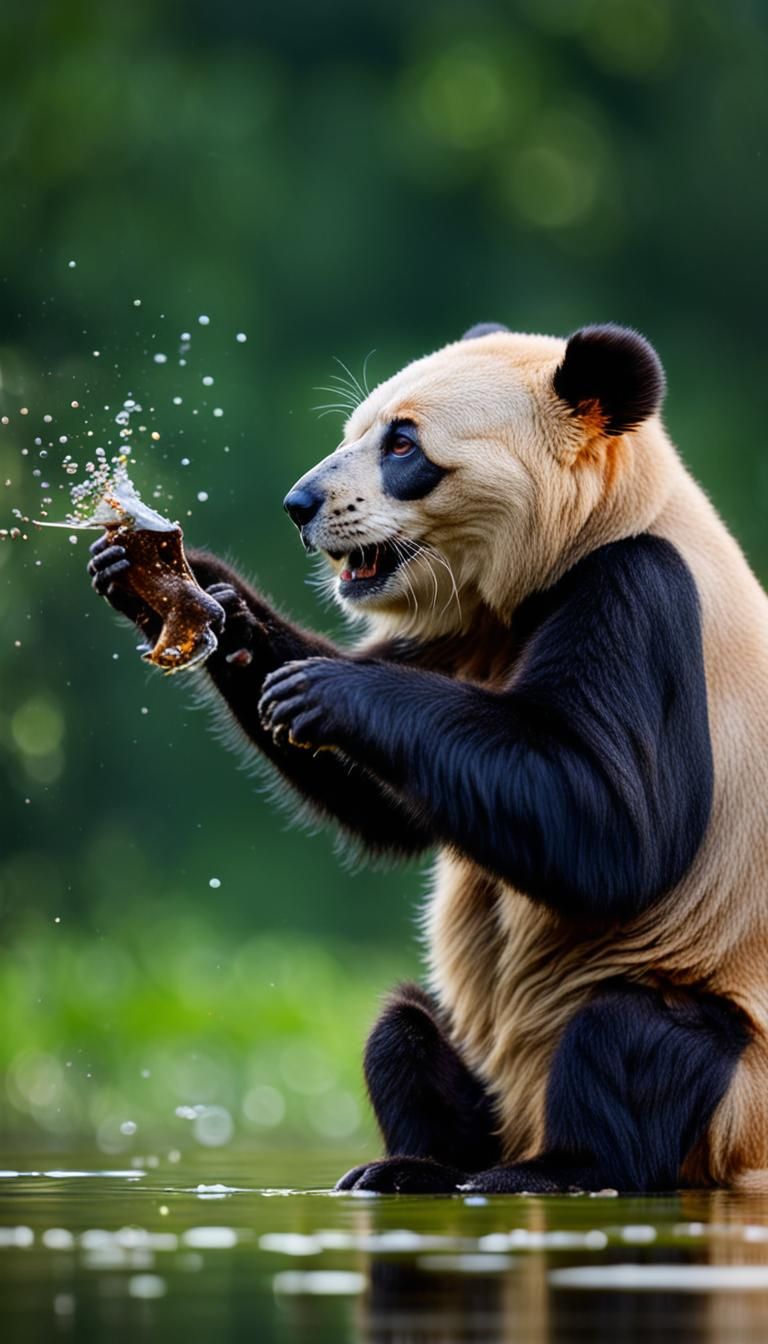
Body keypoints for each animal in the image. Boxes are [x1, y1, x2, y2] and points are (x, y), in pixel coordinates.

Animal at [89, 323, 768, 1194]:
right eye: (353, 430)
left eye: (402, 444)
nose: (300, 506)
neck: (602, 518)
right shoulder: (476, 630)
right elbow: (395, 804)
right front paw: (186, 590)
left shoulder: (640, 596)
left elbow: (614, 829)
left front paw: (330, 693)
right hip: (481, 1055)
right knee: (402, 1028)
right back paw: (413, 1164)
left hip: (730, 1078)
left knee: (635, 1038)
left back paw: (555, 1169)